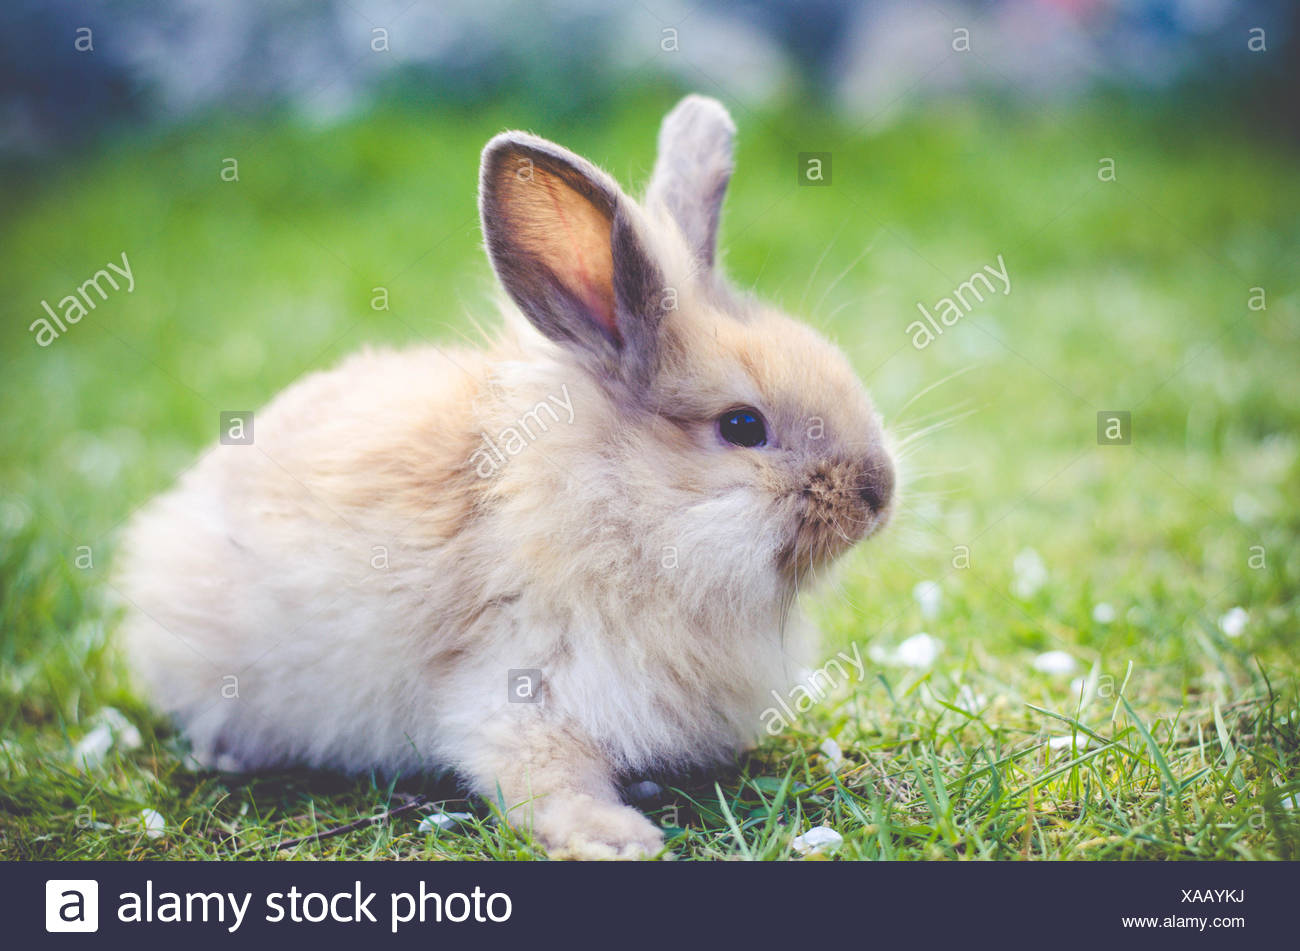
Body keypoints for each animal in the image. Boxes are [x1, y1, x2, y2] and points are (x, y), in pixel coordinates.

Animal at [114, 94, 896, 860]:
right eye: (741, 426)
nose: (879, 494)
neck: (615, 505)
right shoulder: (526, 689)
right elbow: (545, 778)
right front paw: (617, 839)